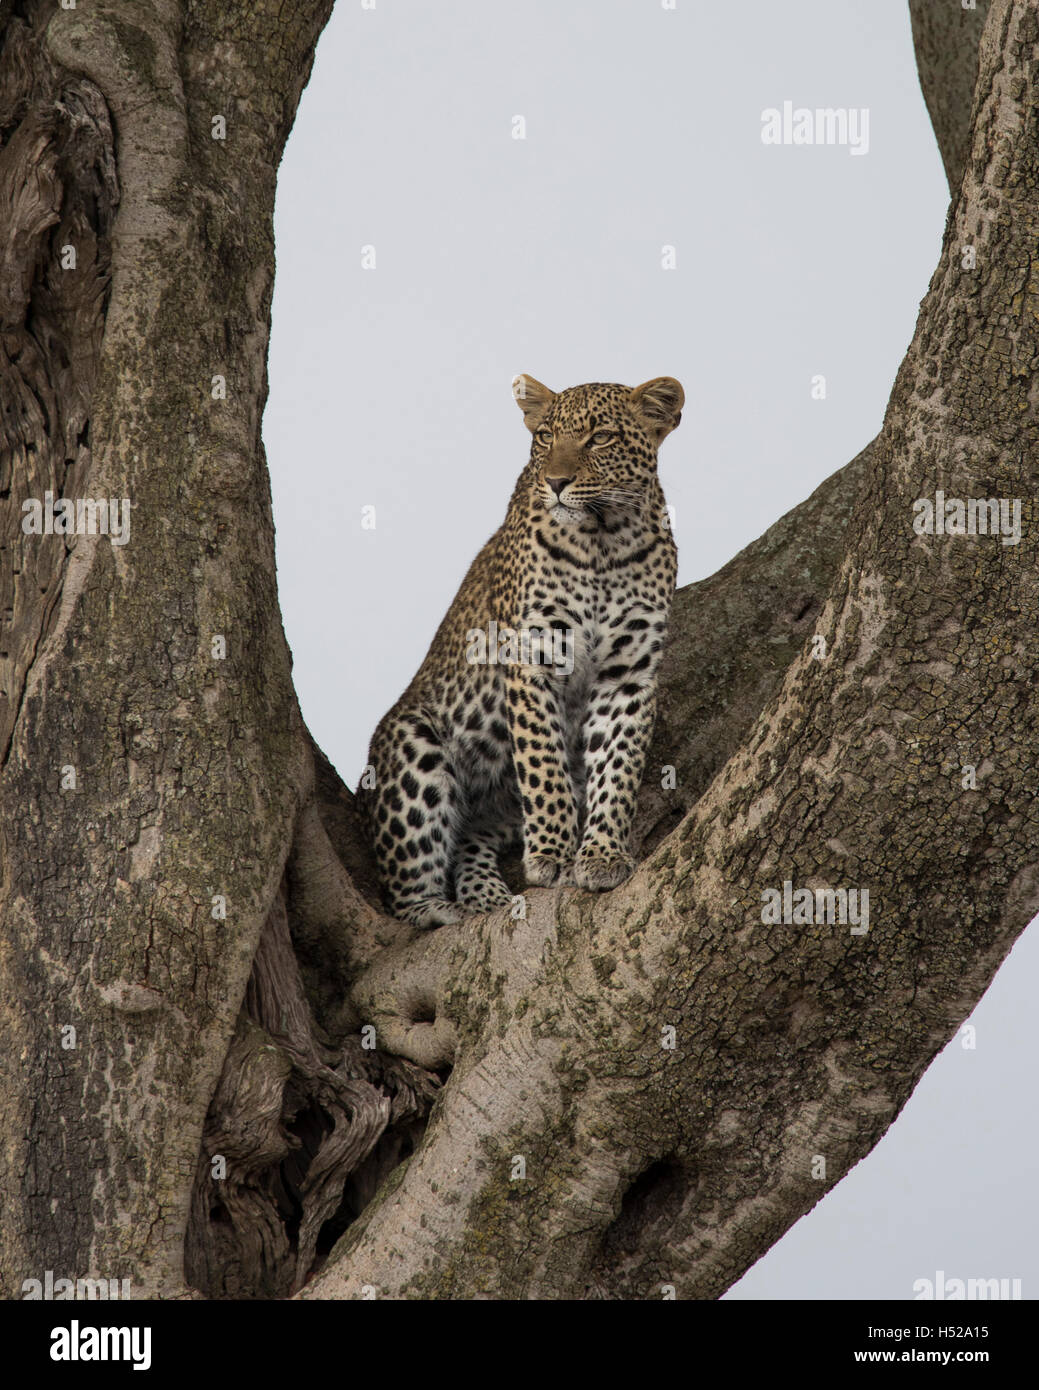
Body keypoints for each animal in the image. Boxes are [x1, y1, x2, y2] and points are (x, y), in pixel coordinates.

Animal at [358, 373, 684, 928]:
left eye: (600, 438)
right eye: (546, 436)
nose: (556, 481)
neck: (604, 536)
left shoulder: (628, 672)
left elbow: (618, 766)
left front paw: (602, 854)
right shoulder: (531, 658)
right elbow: (542, 762)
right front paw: (553, 852)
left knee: (473, 835)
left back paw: (485, 891)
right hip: (415, 745)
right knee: (405, 890)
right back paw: (442, 909)